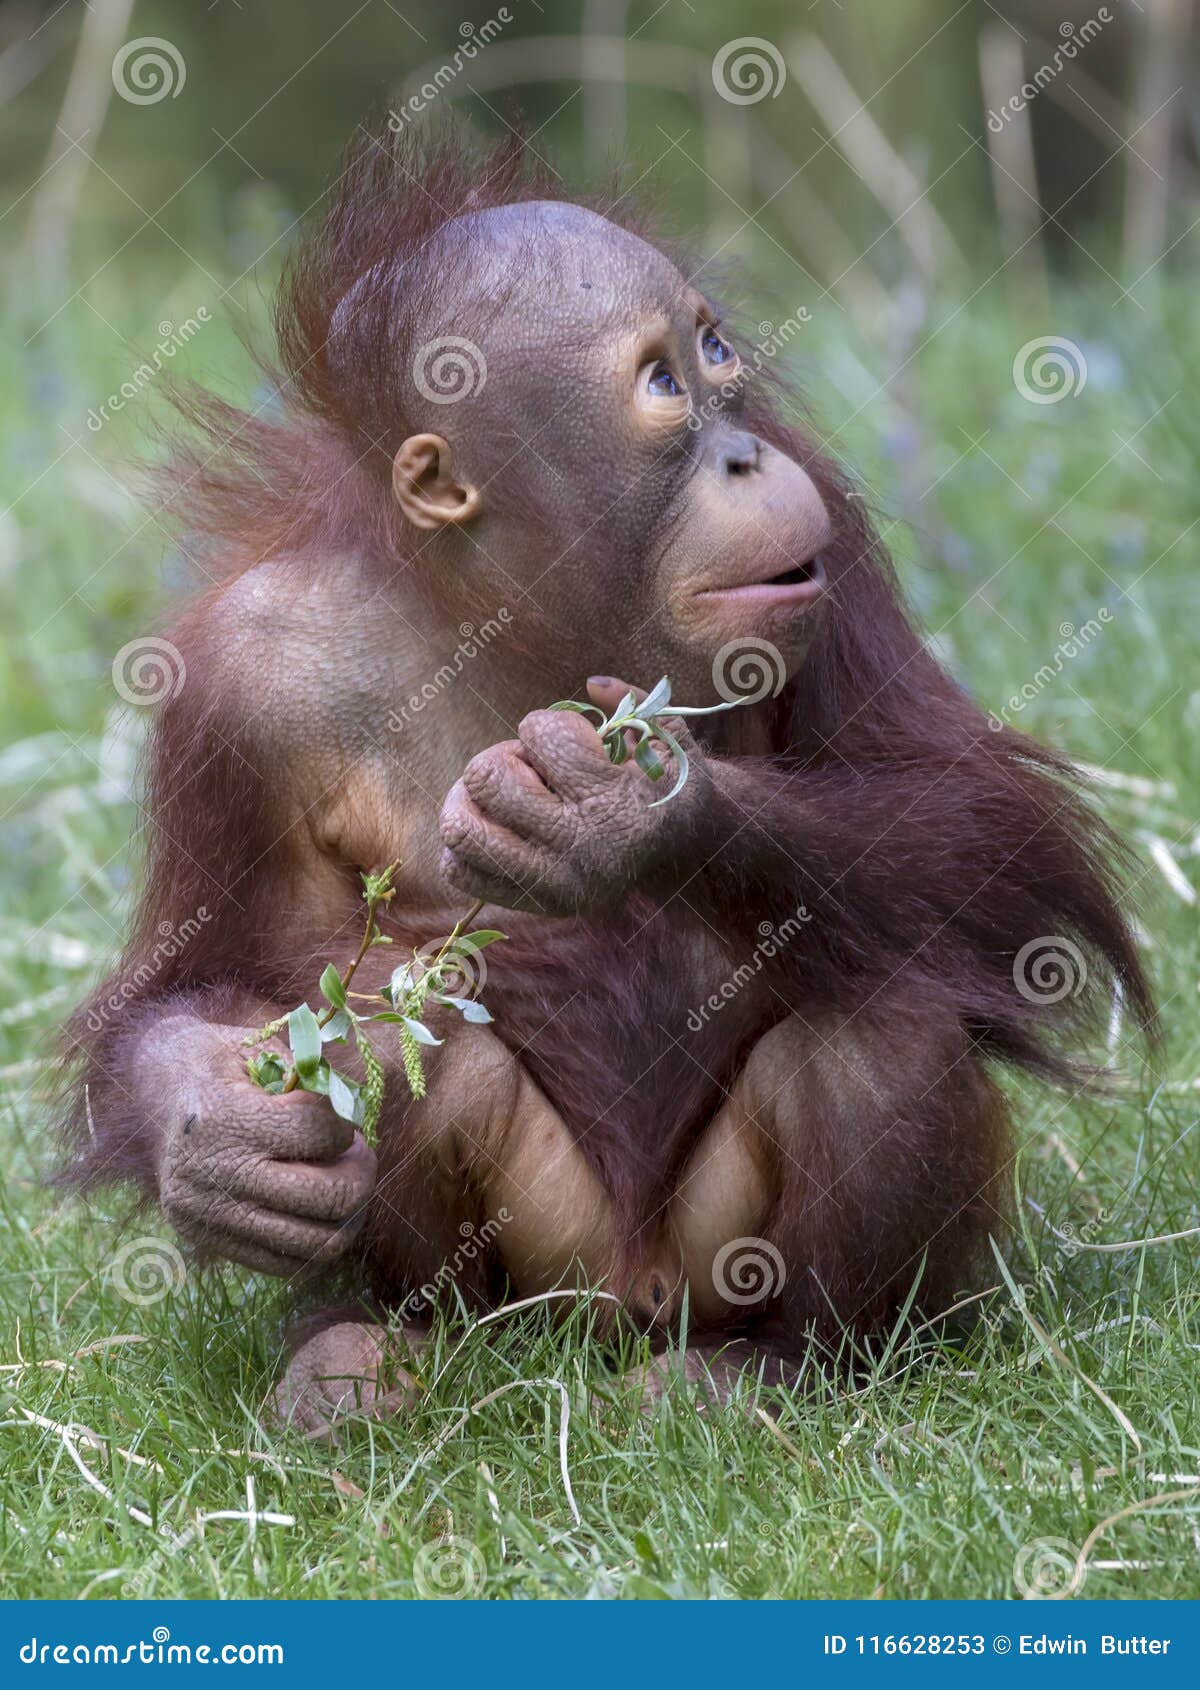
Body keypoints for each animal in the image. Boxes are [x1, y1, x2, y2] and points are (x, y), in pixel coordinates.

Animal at [62, 123, 1152, 1434]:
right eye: (661, 383)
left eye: (717, 352)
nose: (744, 451)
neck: (511, 612)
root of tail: (625, 1300)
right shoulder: (232, 680)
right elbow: (191, 978)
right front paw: (215, 1144)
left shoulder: (827, 543)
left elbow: (989, 829)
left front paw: (634, 816)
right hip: (544, 1268)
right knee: (385, 1037)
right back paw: (364, 1343)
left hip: (704, 1259)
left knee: (879, 1017)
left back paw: (777, 1366)